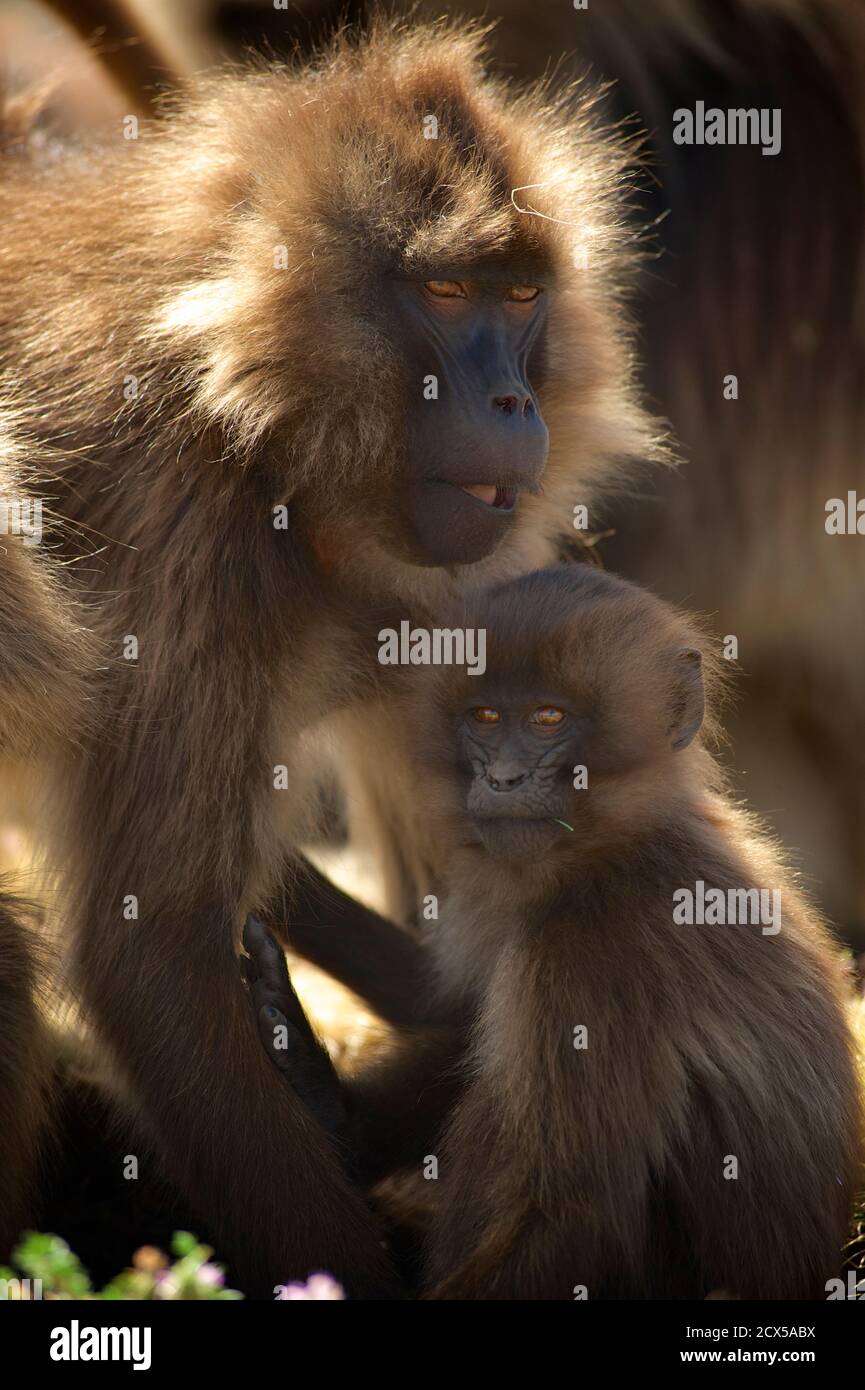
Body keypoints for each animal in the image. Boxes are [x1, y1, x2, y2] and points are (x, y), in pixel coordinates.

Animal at [0, 20, 662, 1291]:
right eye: (445, 290)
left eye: (521, 294)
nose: (512, 402)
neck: (251, 428)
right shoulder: (181, 533)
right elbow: (151, 955)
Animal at [250, 565, 863, 1299]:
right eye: (485, 717)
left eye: (549, 719)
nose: (503, 779)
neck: (614, 848)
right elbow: (443, 1010)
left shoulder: (593, 957)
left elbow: (572, 1215)